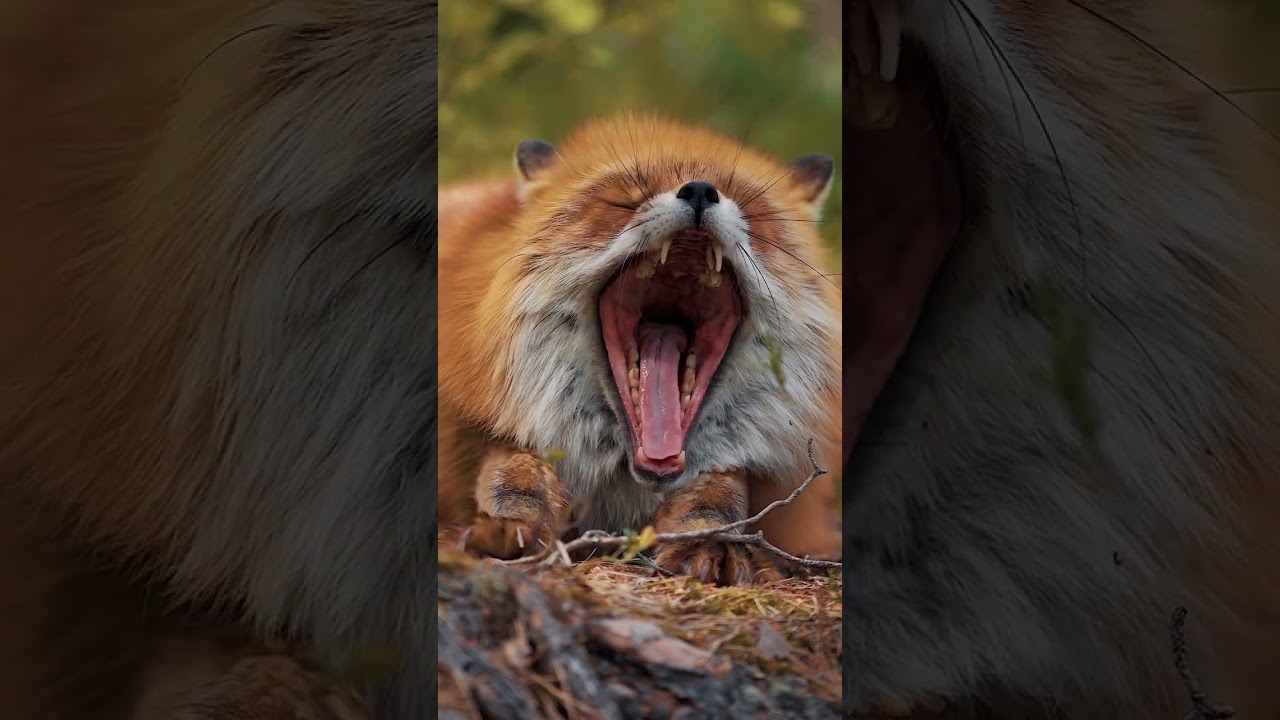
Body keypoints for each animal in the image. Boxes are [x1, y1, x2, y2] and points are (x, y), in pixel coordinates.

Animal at [437, 115, 844, 584]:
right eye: (624, 202)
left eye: (751, 209)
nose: (699, 190)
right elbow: (514, 476)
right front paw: (509, 526)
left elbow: (717, 496)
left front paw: (711, 539)